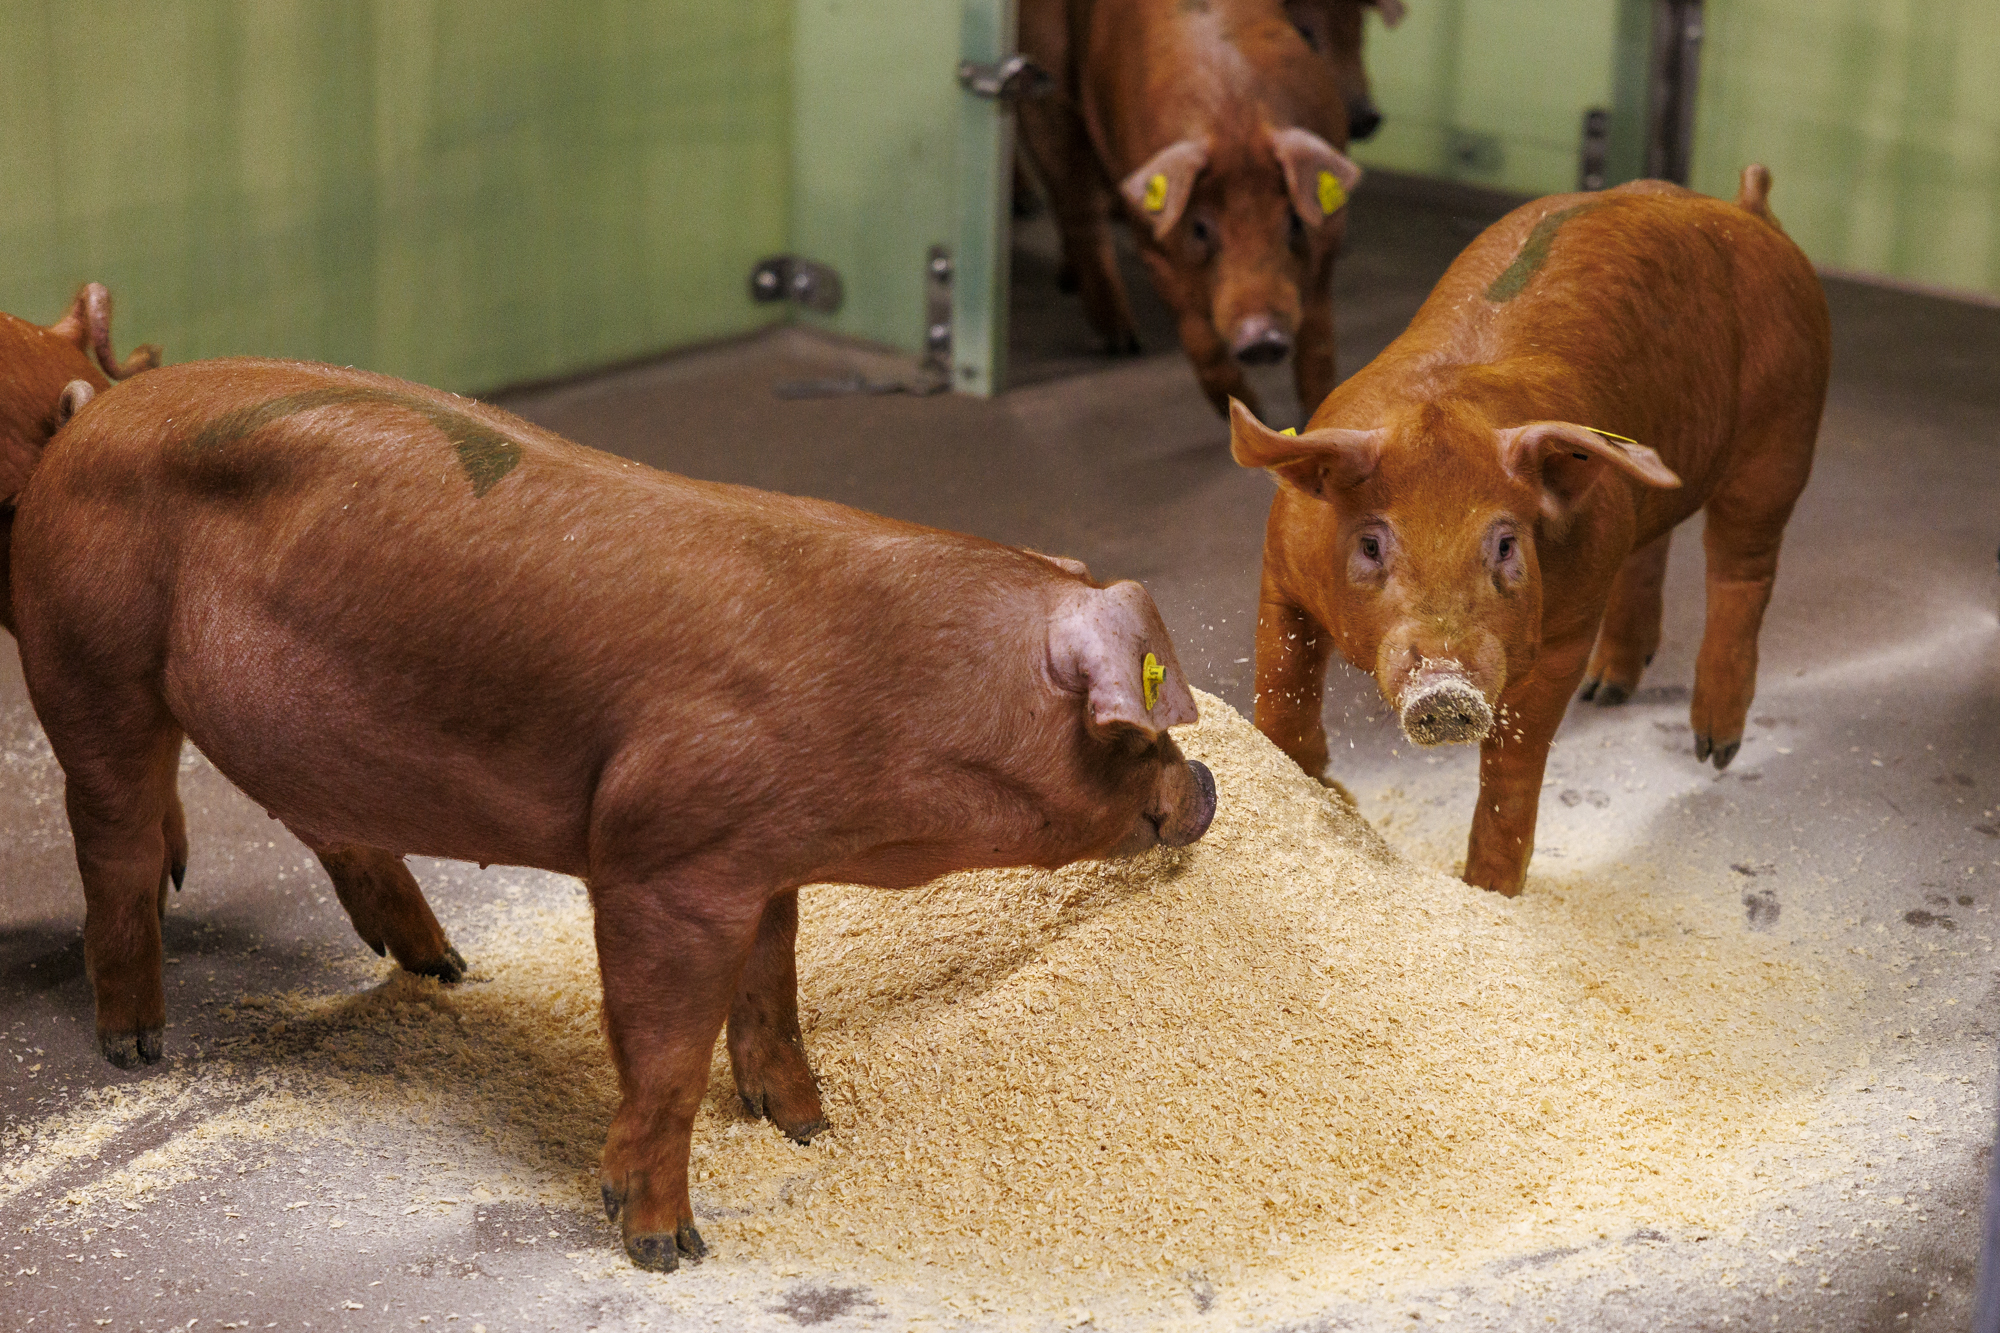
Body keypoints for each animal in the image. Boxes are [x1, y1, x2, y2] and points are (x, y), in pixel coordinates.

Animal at [11, 357, 1217, 1271]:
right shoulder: (663, 865)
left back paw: (442, 966)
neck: (895, 707)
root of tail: (92, 409)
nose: (1204, 790)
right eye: (1140, 732)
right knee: (114, 840)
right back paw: (136, 1047)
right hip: (90, 657)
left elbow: (773, 989)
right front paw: (664, 1246)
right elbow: (667, 1050)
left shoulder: (763, 863)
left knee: (309, 818)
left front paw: (808, 1125)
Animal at [1017, 0, 1366, 420]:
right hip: (1044, 87)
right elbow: (1201, 341)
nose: (1262, 338)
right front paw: (1252, 414)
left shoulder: (1331, 232)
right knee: (1077, 205)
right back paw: (1123, 341)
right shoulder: (1152, 239)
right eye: (1200, 228)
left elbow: (1317, 340)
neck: (1234, 120)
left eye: (1295, 221)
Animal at [1230, 167, 1829, 895]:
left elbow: (1513, 765)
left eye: (1506, 543)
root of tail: (1749, 212)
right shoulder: (1280, 570)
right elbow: (1281, 693)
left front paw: (1487, 893)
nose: (1445, 687)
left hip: (1784, 433)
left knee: (1742, 569)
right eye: (1371, 543)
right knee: (1652, 549)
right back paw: (1611, 691)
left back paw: (1714, 747)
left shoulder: (1570, 625)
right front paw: (1319, 787)